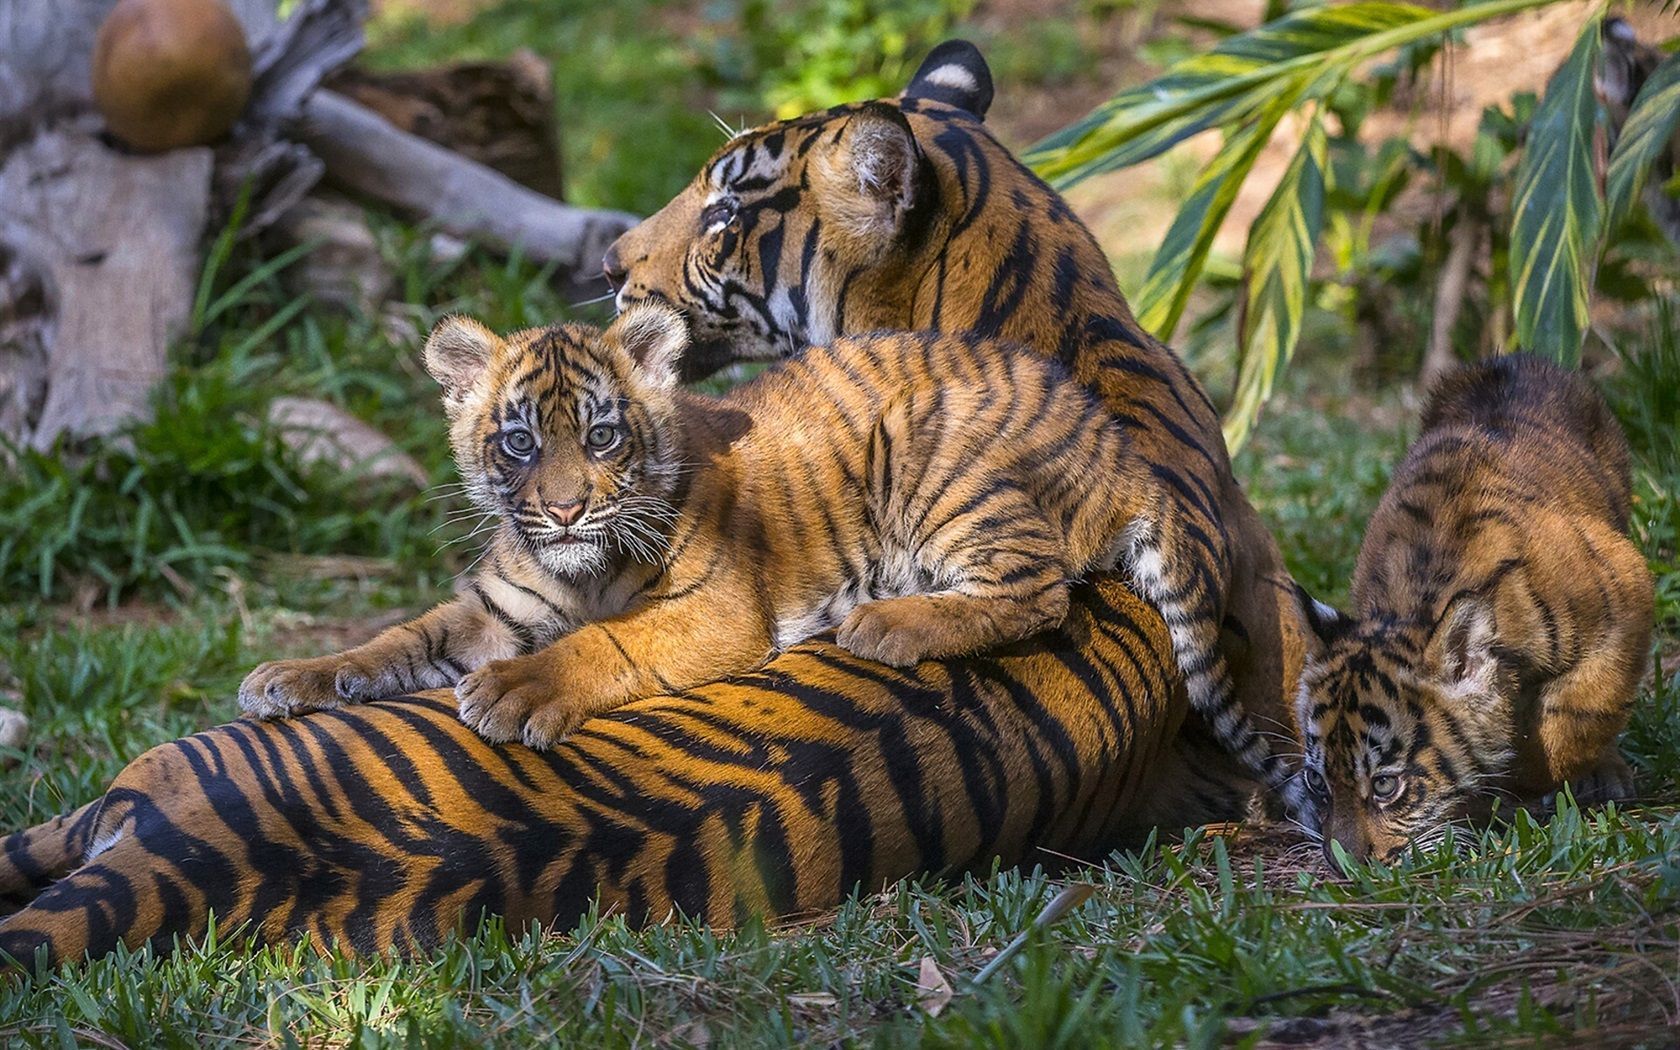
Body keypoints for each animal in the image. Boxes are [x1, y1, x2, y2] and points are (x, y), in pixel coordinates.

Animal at [243, 303, 1229, 756]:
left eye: (602, 437)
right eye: (519, 442)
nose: (562, 509)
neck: (575, 570)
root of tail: (1118, 444)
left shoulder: (714, 609)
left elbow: (604, 642)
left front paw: (514, 692)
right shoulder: (492, 610)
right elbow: (393, 642)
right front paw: (291, 677)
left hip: (940, 466)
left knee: (1038, 591)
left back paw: (886, 622)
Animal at [1295, 354, 1653, 869]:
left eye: (1385, 785)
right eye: (1317, 781)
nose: (1344, 866)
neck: (1418, 602)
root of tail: (1512, 359)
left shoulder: (1626, 591)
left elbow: (1579, 713)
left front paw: (1529, 776)